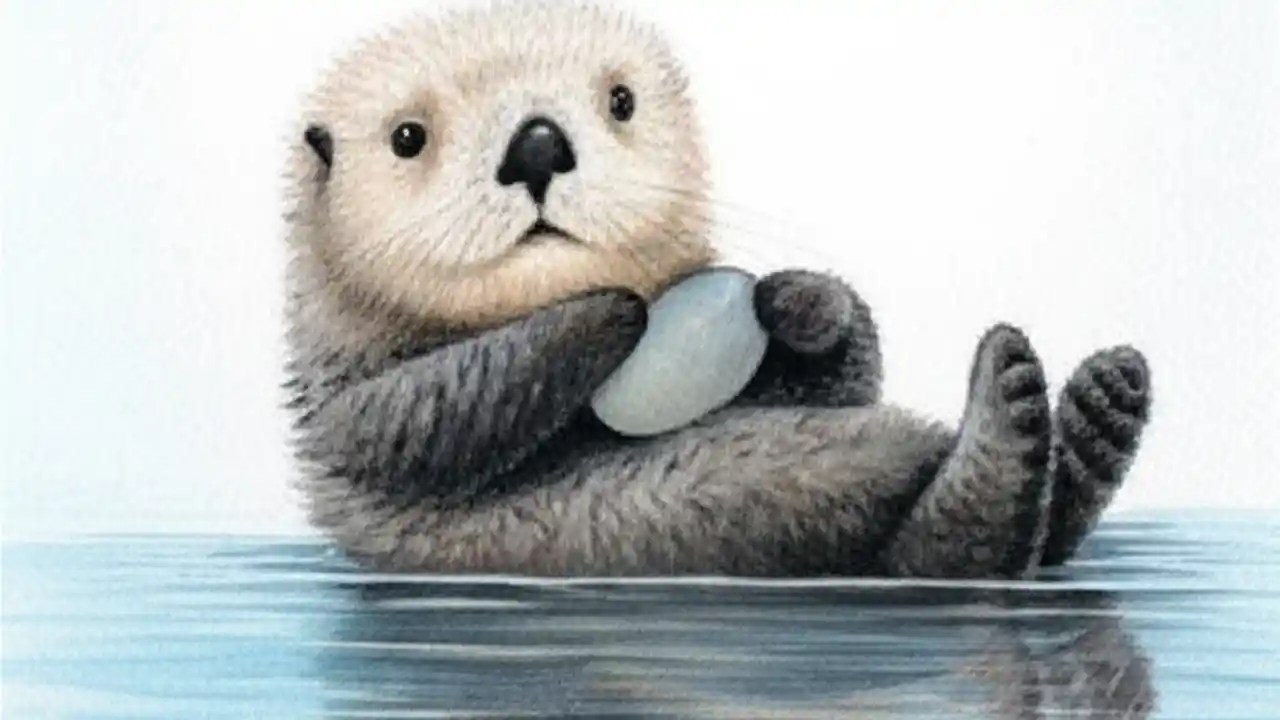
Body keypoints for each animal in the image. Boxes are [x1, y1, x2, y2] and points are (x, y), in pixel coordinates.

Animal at [283, 1, 1152, 577]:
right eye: (408, 137)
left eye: (621, 101)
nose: (537, 146)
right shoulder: (345, 406)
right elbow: (424, 409)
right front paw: (613, 309)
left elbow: (833, 381)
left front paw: (798, 300)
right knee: (955, 551)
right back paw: (1018, 407)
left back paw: (1100, 408)